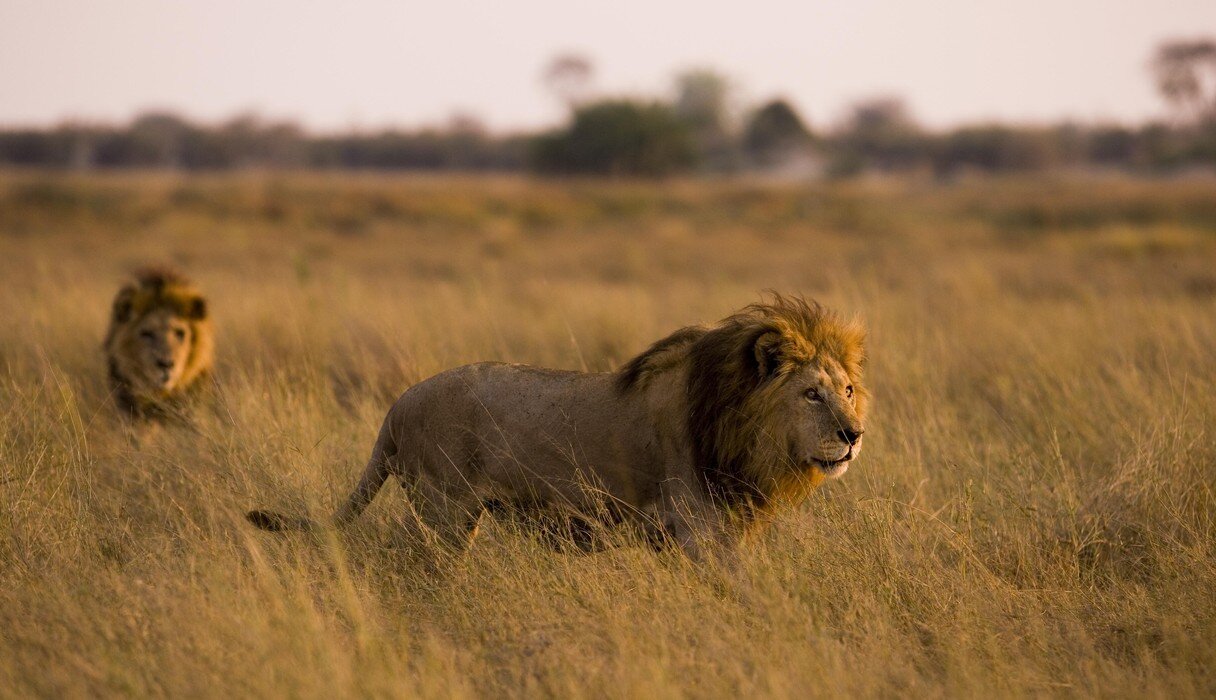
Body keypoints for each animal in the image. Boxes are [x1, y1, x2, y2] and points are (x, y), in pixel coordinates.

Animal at [247, 294, 867, 560]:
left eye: (848, 391)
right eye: (811, 394)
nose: (854, 436)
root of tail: (396, 406)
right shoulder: (695, 528)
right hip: (444, 508)